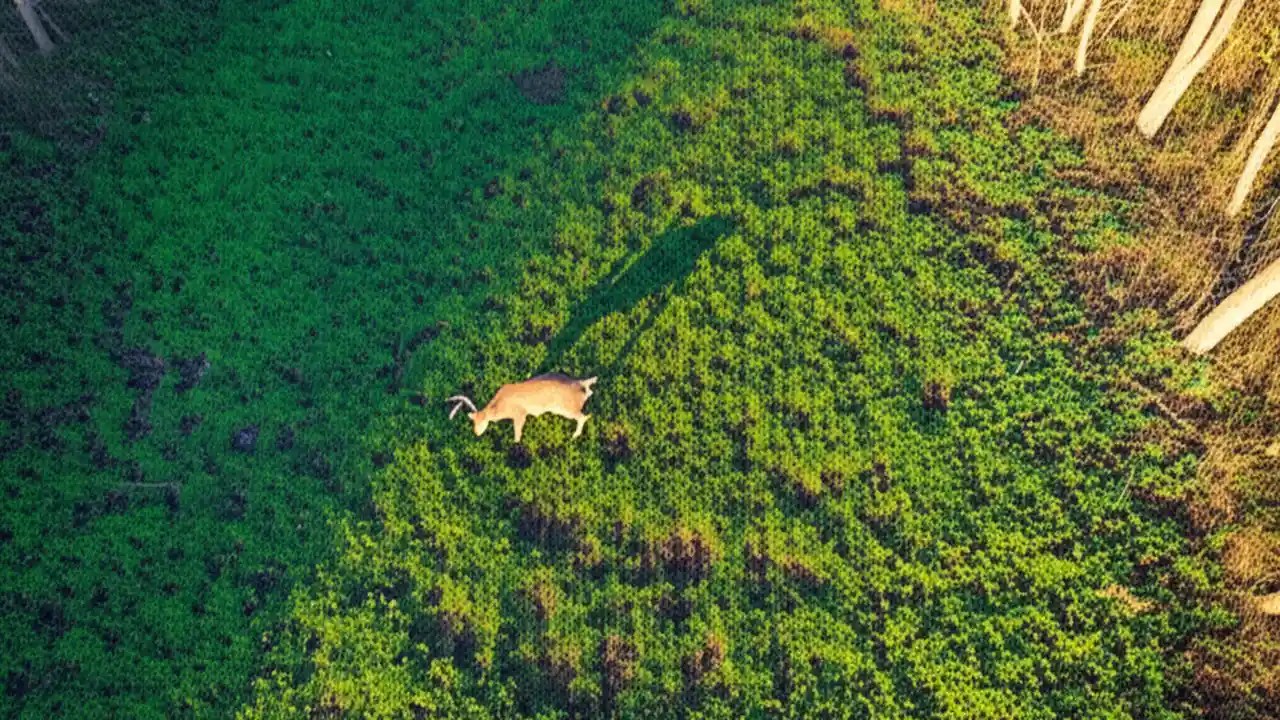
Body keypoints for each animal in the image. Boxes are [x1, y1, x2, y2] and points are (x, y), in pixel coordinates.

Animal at [446, 373, 597, 443]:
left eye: (482, 421)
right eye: (473, 421)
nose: (477, 433)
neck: (500, 403)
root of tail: (579, 384)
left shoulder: (519, 416)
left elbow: (517, 435)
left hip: (565, 409)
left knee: (583, 417)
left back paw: (575, 435)